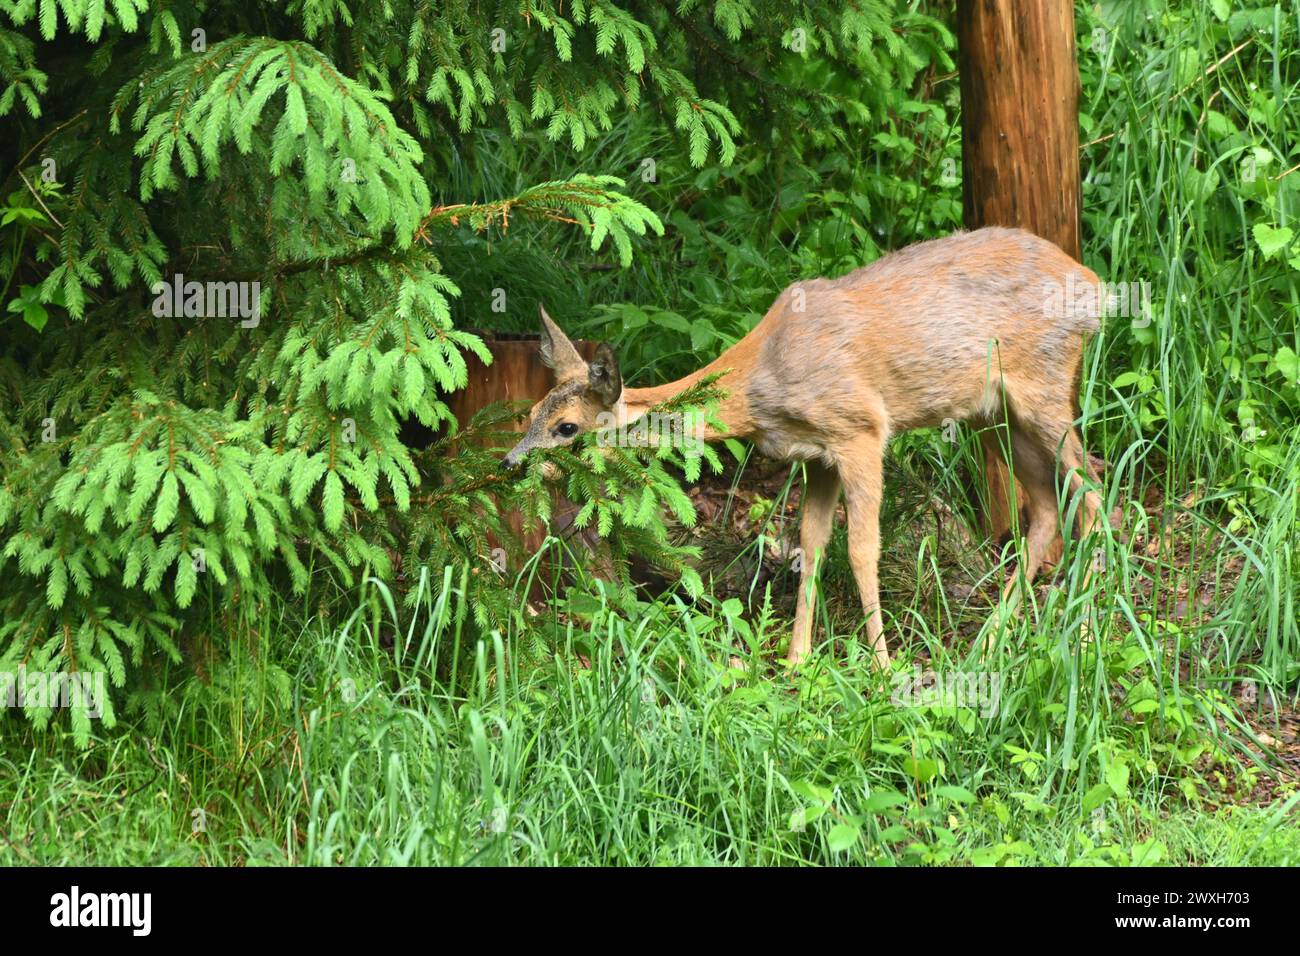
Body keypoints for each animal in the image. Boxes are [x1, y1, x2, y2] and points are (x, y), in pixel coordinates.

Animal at [502, 227, 1106, 670]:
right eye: (529, 414)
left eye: (567, 428)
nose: (509, 463)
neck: (761, 388)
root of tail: (1093, 285)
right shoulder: (818, 456)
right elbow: (812, 548)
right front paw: (796, 662)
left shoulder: (861, 429)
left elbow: (861, 550)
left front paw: (882, 667)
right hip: (991, 414)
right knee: (1048, 504)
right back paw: (993, 640)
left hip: (1044, 386)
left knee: (1095, 491)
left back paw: (1083, 628)